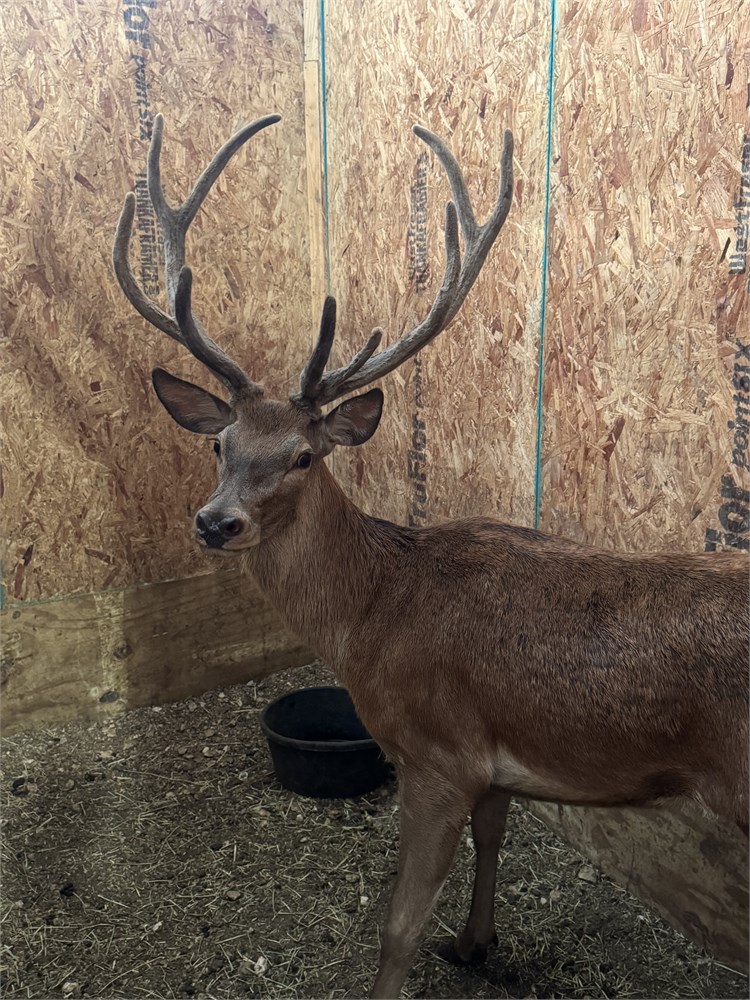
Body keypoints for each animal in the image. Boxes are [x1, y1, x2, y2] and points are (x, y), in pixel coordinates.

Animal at [113, 112, 749, 999]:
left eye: (304, 456)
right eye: (219, 445)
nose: (215, 522)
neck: (373, 615)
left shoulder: (436, 752)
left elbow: (398, 928)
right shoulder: (492, 760)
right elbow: (494, 840)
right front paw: (475, 943)